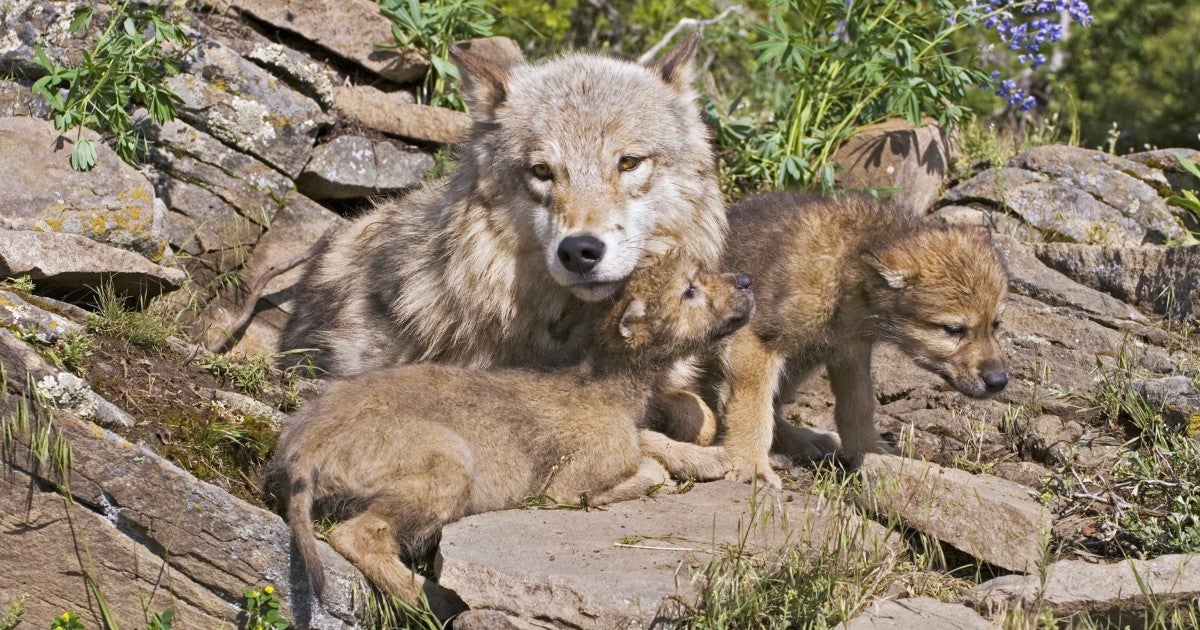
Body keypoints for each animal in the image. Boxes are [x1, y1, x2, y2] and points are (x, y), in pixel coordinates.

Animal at [268, 253, 755, 606]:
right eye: (690, 290)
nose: (747, 282)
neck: (607, 384)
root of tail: (300, 448)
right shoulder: (562, 487)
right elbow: (641, 470)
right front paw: (669, 476)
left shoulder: (626, 433)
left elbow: (651, 439)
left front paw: (709, 458)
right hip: (448, 461)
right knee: (356, 535)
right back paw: (434, 601)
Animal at [709, 193, 1010, 488]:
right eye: (953, 329)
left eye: (995, 324)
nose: (999, 381)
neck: (844, 270)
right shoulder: (757, 341)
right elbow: (752, 409)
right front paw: (751, 466)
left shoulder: (850, 351)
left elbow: (858, 405)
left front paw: (871, 451)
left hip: (805, 358)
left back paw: (805, 439)